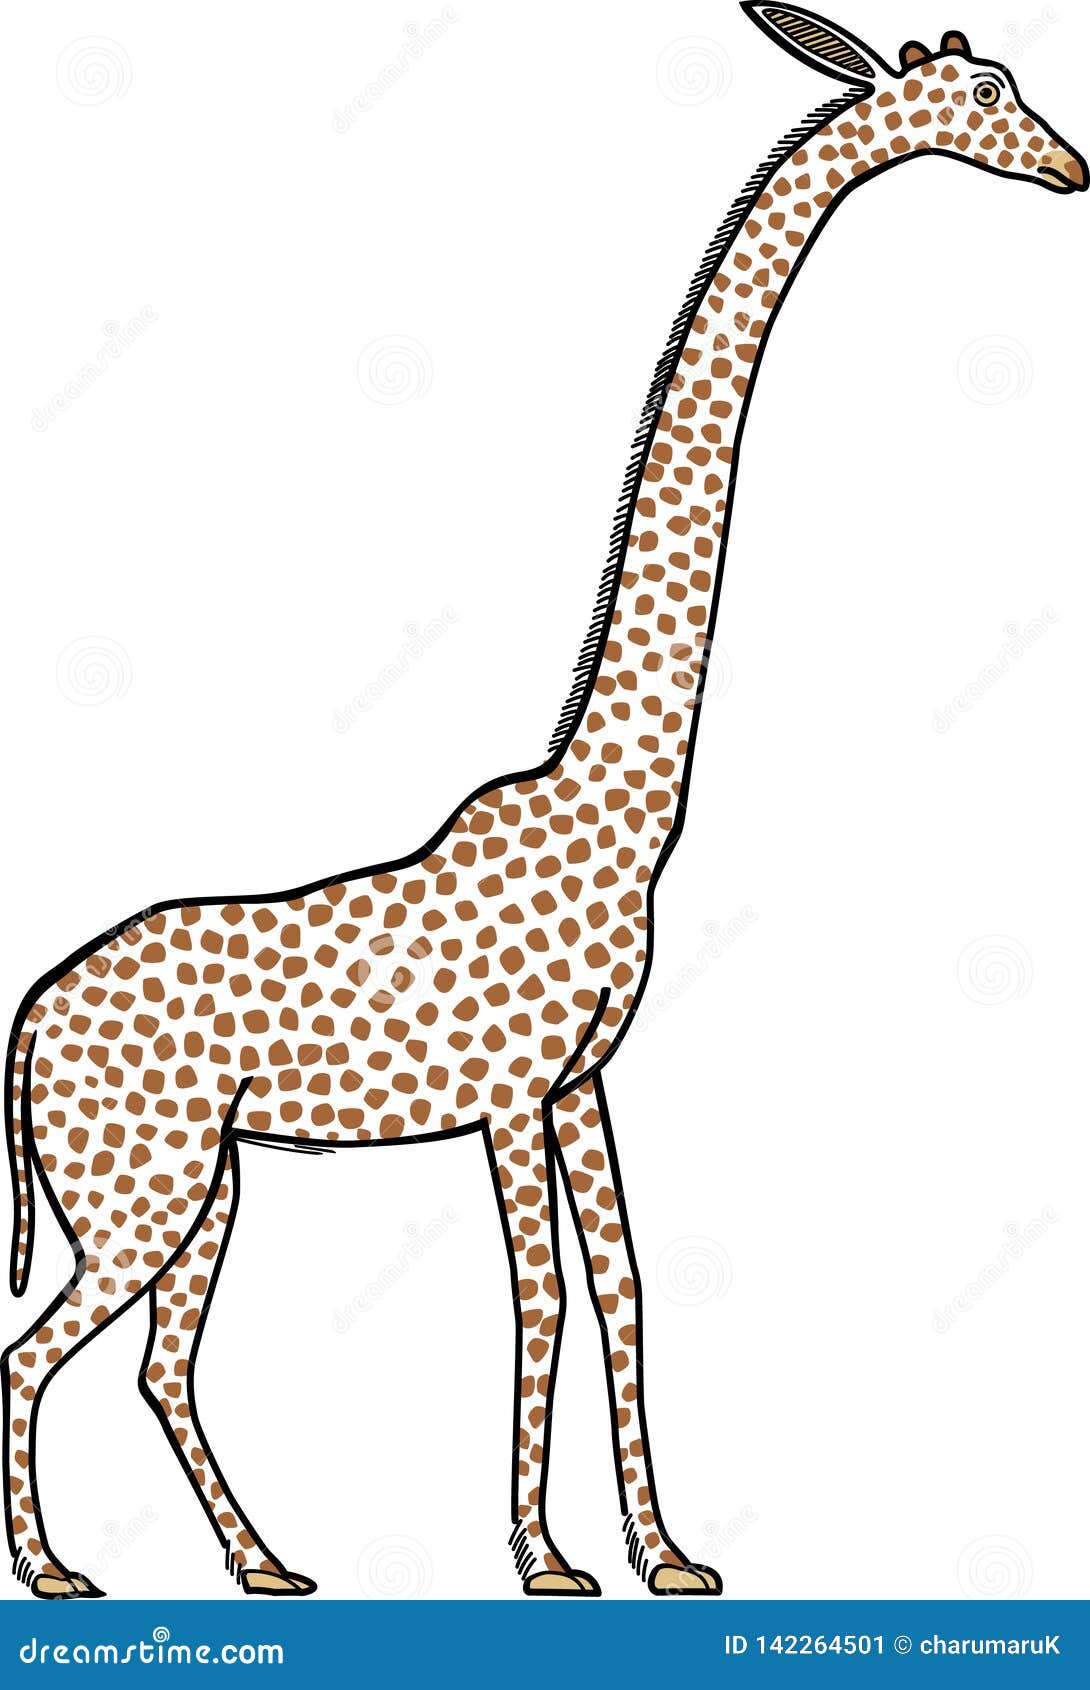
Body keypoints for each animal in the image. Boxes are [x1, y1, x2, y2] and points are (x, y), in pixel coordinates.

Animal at [4, 6, 1085, 1601]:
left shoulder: (580, 1084)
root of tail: (26, 1022)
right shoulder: (513, 1092)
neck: (622, 807)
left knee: (157, 1360)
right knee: (36, 1355)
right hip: (135, 1182)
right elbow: (546, 1305)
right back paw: (62, 1574)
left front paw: (670, 1555)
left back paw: (268, 1566)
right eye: (987, 86)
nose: (1072, 168)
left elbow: (627, 1287)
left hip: (199, 1183)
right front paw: (546, 1558)